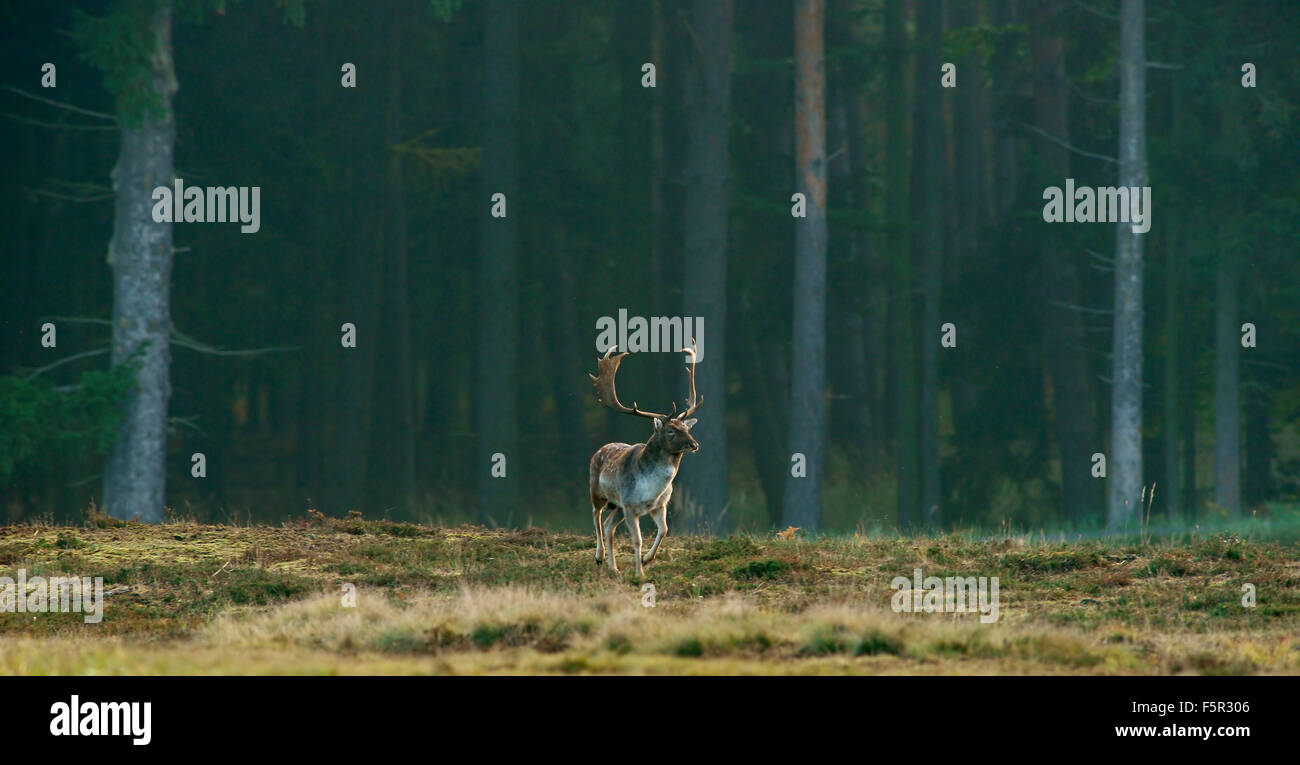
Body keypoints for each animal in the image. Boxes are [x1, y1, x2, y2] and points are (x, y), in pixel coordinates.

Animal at [588, 339, 702, 577]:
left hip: (617, 506)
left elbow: (664, 530)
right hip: (597, 490)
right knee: (596, 514)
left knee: (609, 525)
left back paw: (614, 568)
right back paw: (599, 556)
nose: (694, 444)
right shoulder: (630, 505)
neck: (651, 488)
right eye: (670, 430)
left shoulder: (659, 504)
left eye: (687, 428)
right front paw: (639, 574)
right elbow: (637, 540)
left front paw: (647, 560)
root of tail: (600, 448)